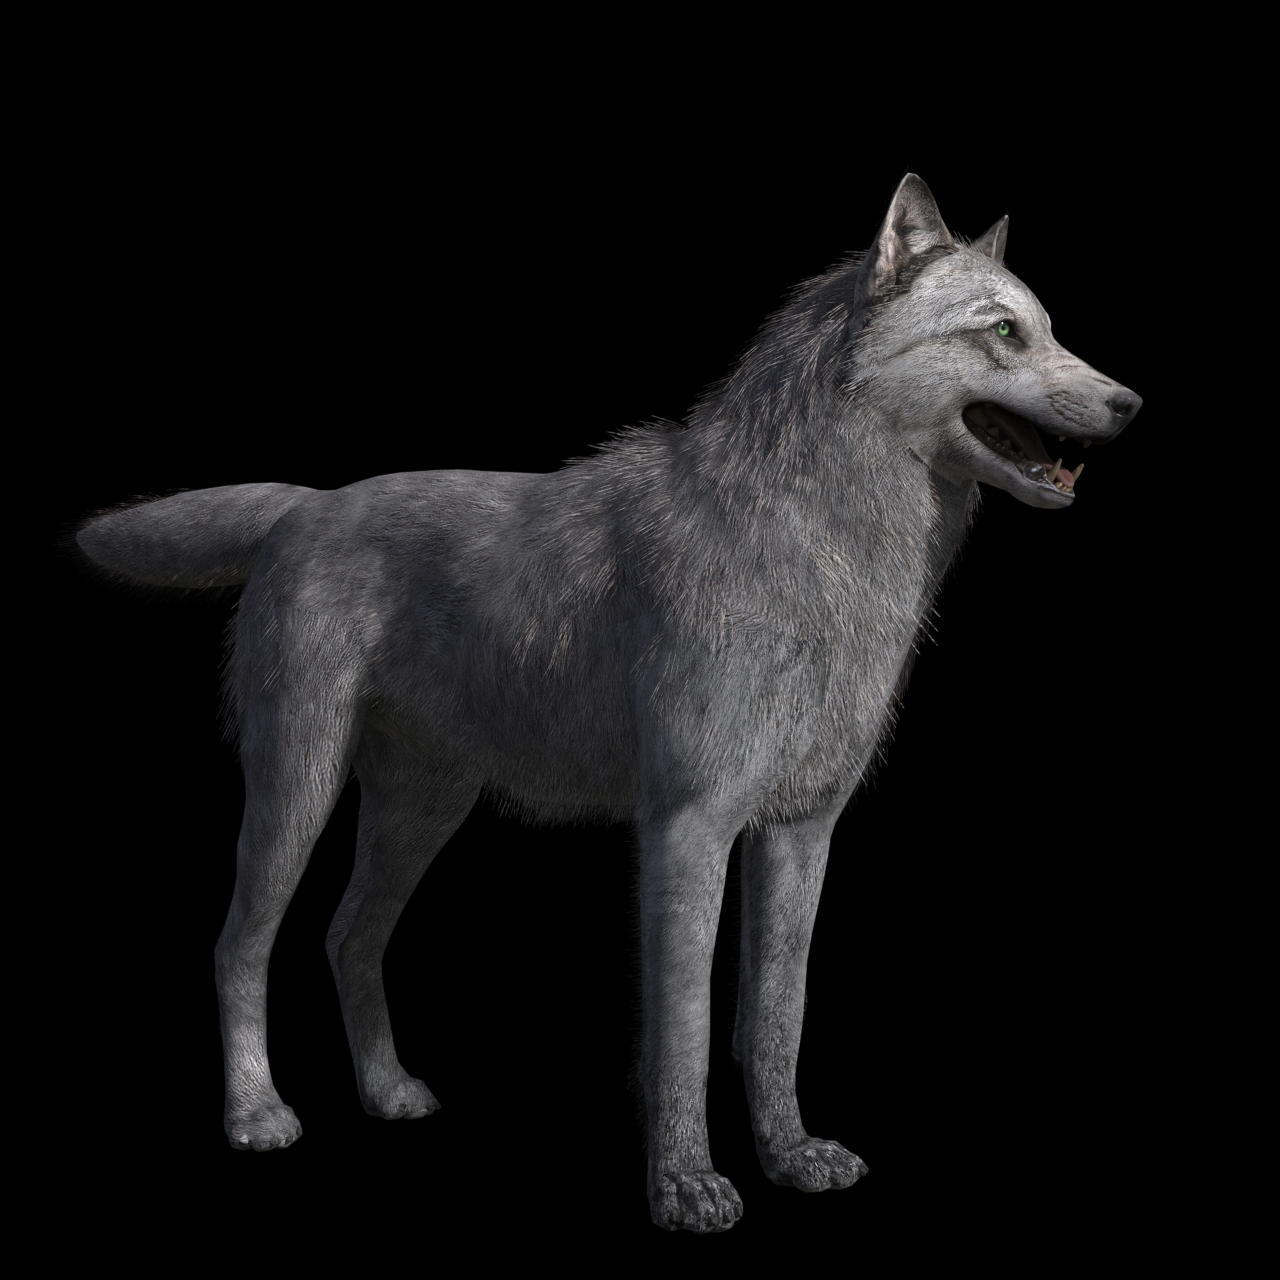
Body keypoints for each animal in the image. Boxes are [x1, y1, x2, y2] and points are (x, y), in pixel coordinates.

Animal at [75, 175, 1139, 1233]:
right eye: (1002, 332)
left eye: (1049, 328)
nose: (1131, 402)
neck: (818, 548)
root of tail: (304, 505)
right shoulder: (686, 829)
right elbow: (689, 1032)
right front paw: (687, 1188)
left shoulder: (802, 830)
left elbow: (778, 1019)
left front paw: (792, 1157)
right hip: (297, 793)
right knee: (239, 944)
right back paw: (256, 1116)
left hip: (422, 812)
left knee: (349, 936)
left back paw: (388, 1094)